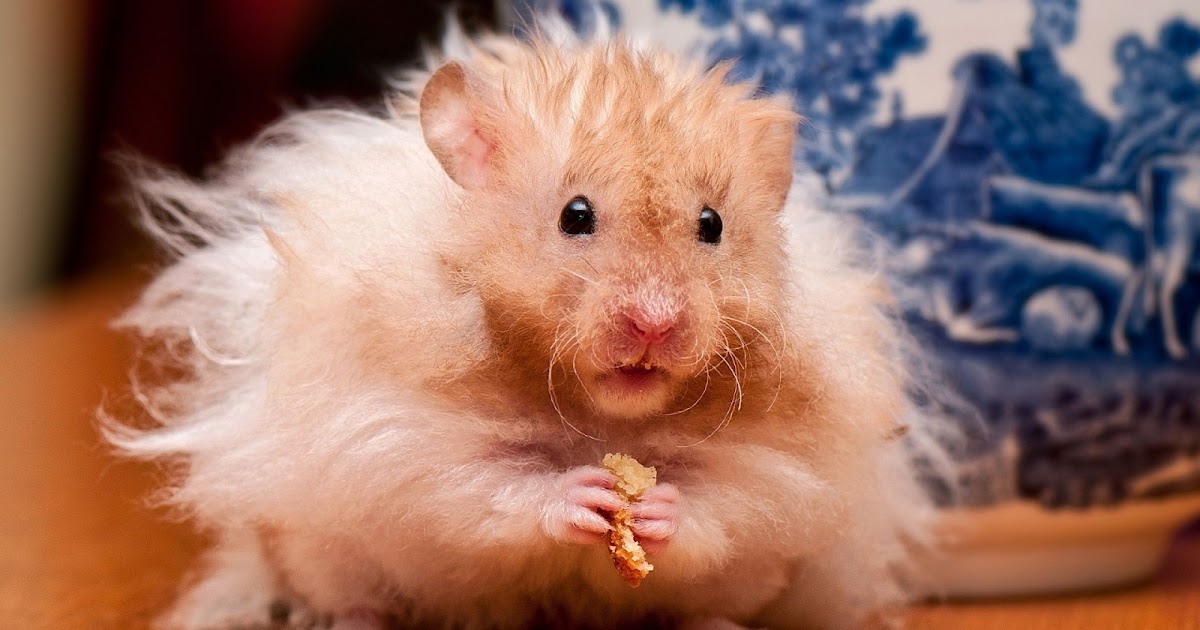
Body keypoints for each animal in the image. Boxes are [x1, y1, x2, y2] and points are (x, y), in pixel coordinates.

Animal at [107, 16, 947, 630]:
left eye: (711, 225)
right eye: (575, 215)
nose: (655, 324)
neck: (598, 416)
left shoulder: (786, 473)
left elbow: (724, 505)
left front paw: (656, 506)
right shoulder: (395, 437)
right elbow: (484, 487)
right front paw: (583, 495)